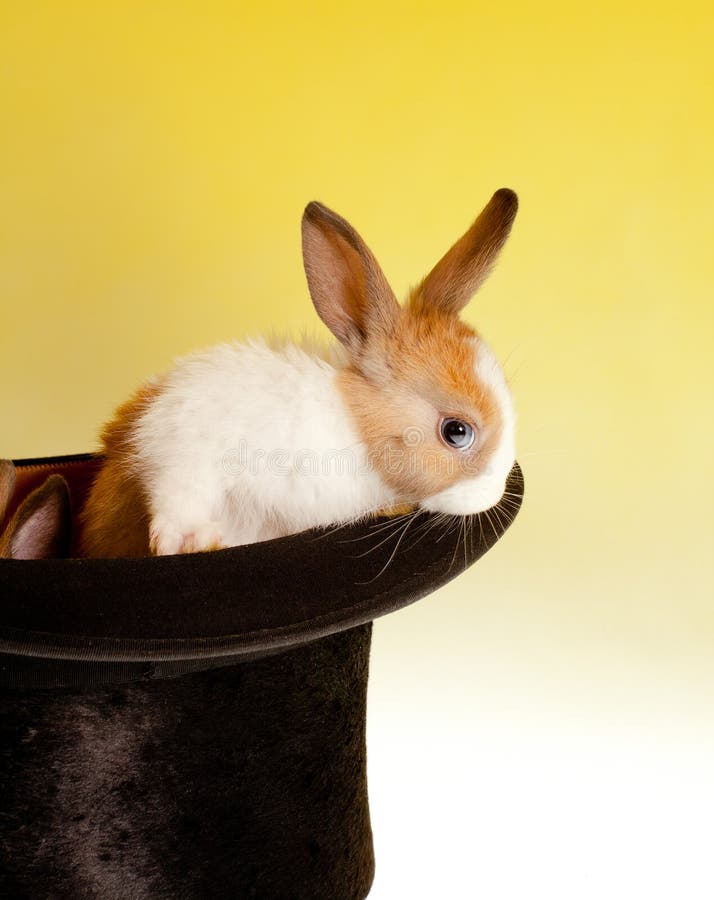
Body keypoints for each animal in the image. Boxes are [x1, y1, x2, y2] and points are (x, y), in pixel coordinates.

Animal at [79, 188, 518, 558]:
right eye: (457, 432)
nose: (493, 495)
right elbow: (175, 497)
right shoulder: (179, 447)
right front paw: (193, 540)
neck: (352, 426)